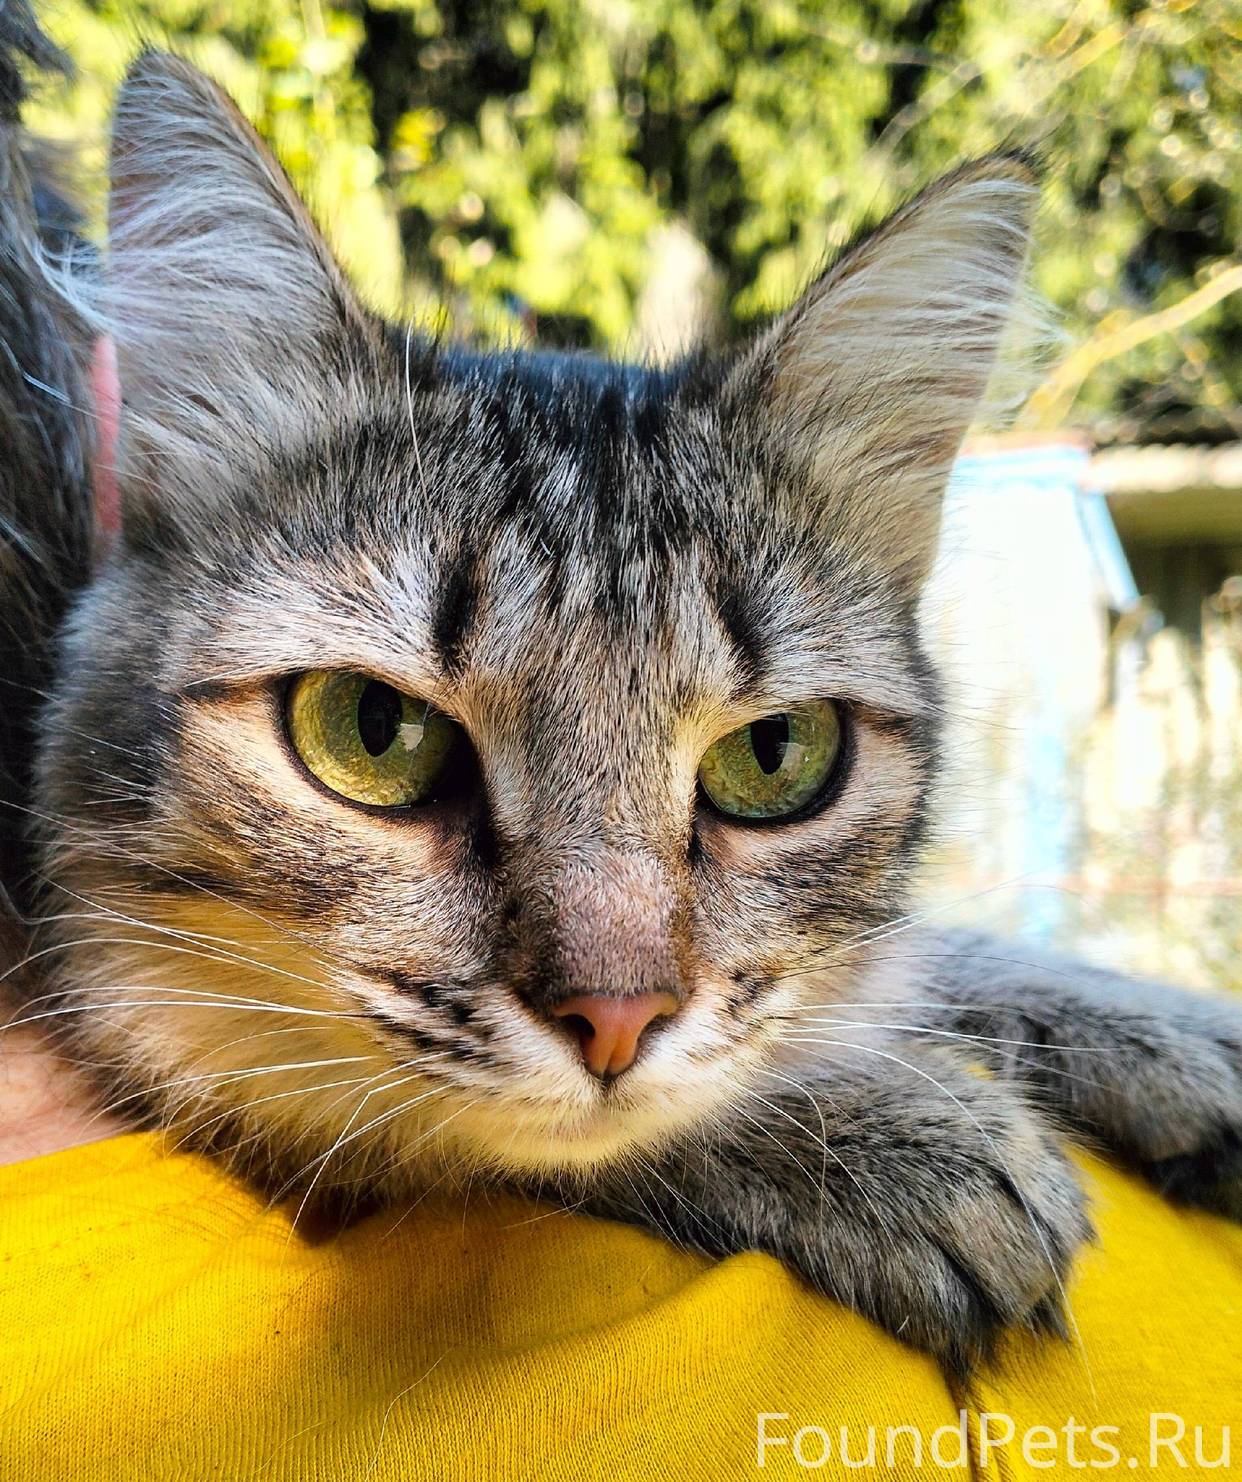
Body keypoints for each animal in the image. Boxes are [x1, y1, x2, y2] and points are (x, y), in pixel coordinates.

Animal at [1, 13, 1239, 1376]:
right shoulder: (144, 1009)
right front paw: (889, 1135)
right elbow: (482, 1128)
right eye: (372, 733)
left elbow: (922, 955)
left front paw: (1151, 1029)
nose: (614, 1020)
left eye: (775, 756)